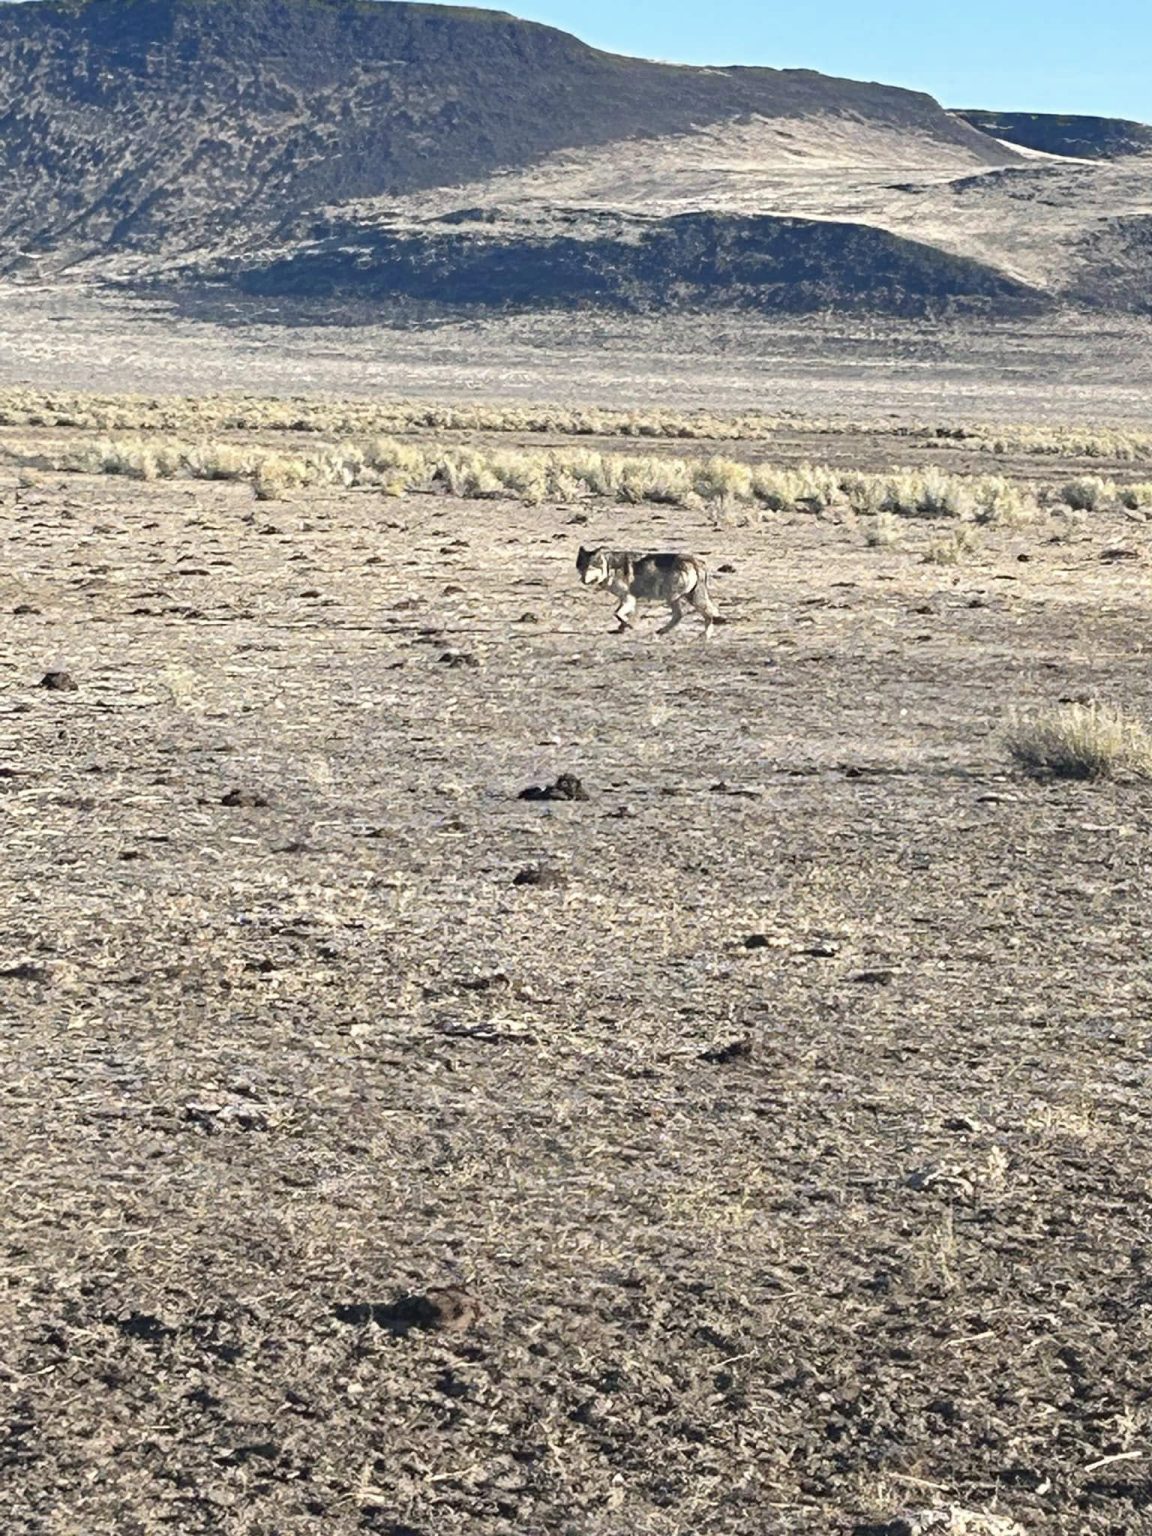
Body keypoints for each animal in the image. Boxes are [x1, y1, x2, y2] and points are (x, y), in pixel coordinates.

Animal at [576, 545, 721, 639]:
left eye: (591, 568)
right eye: (582, 568)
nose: (583, 580)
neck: (610, 567)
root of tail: (696, 562)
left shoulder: (629, 598)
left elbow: (617, 614)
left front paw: (628, 625)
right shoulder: (627, 600)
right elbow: (621, 615)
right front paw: (623, 627)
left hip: (679, 598)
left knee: (698, 615)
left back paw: (704, 635)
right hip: (683, 597)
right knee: (684, 615)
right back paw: (663, 631)